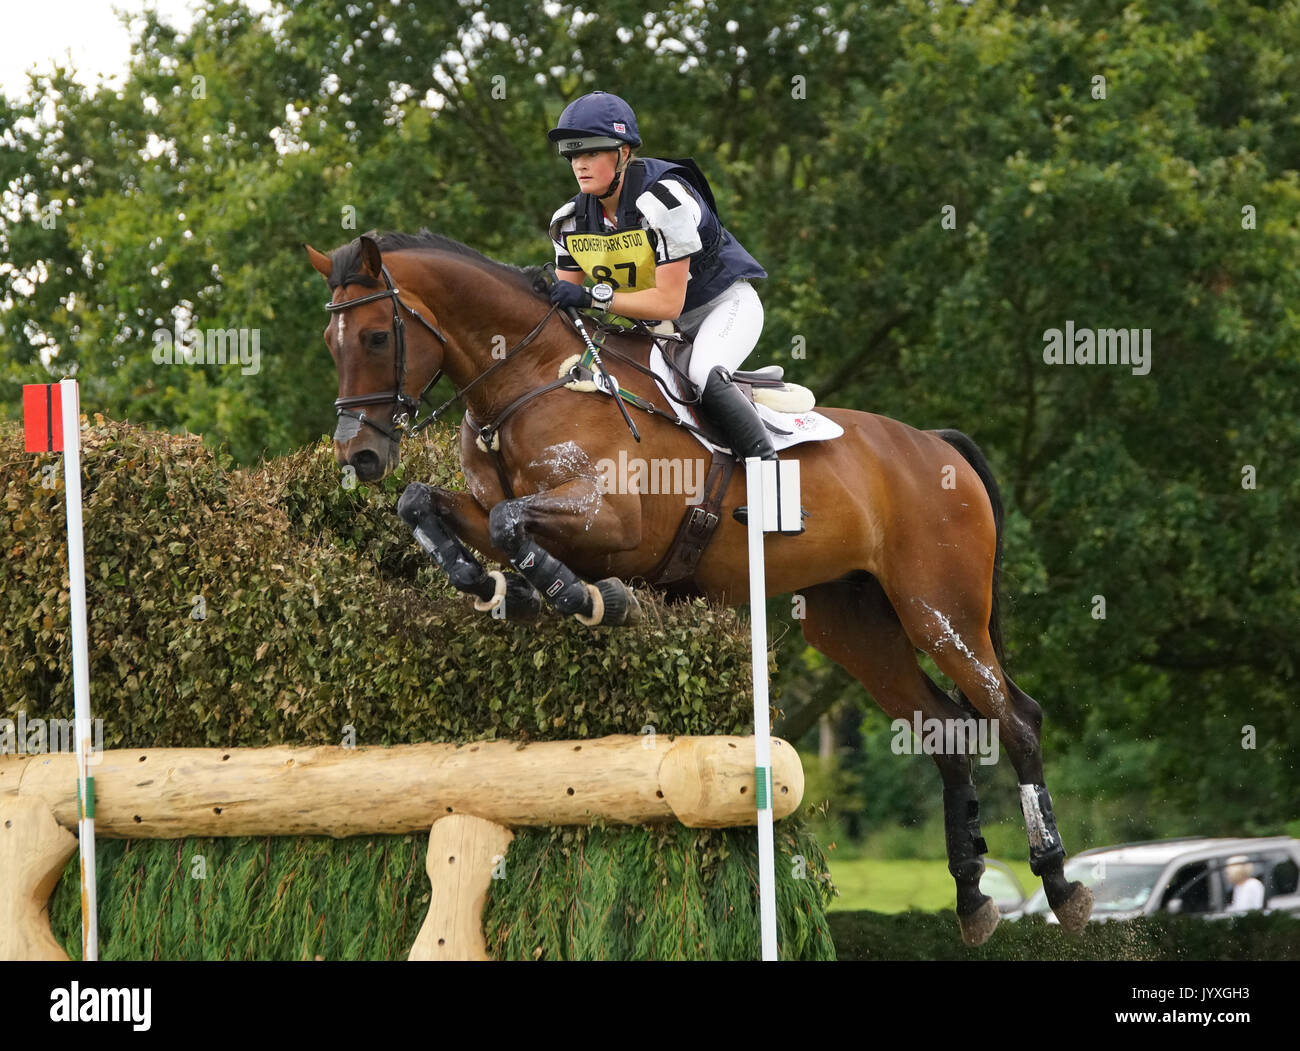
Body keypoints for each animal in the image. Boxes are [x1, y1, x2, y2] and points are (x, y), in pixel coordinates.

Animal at [303, 230, 1093, 945]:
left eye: (376, 335)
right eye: (329, 343)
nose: (359, 455)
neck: (528, 379)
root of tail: (933, 443)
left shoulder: (610, 517)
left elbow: (511, 523)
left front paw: (586, 598)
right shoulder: (510, 508)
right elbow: (431, 506)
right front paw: (491, 585)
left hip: (939, 607)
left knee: (1016, 718)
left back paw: (1060, 886)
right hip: (855, 626)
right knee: (946, 730)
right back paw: (973, 900)